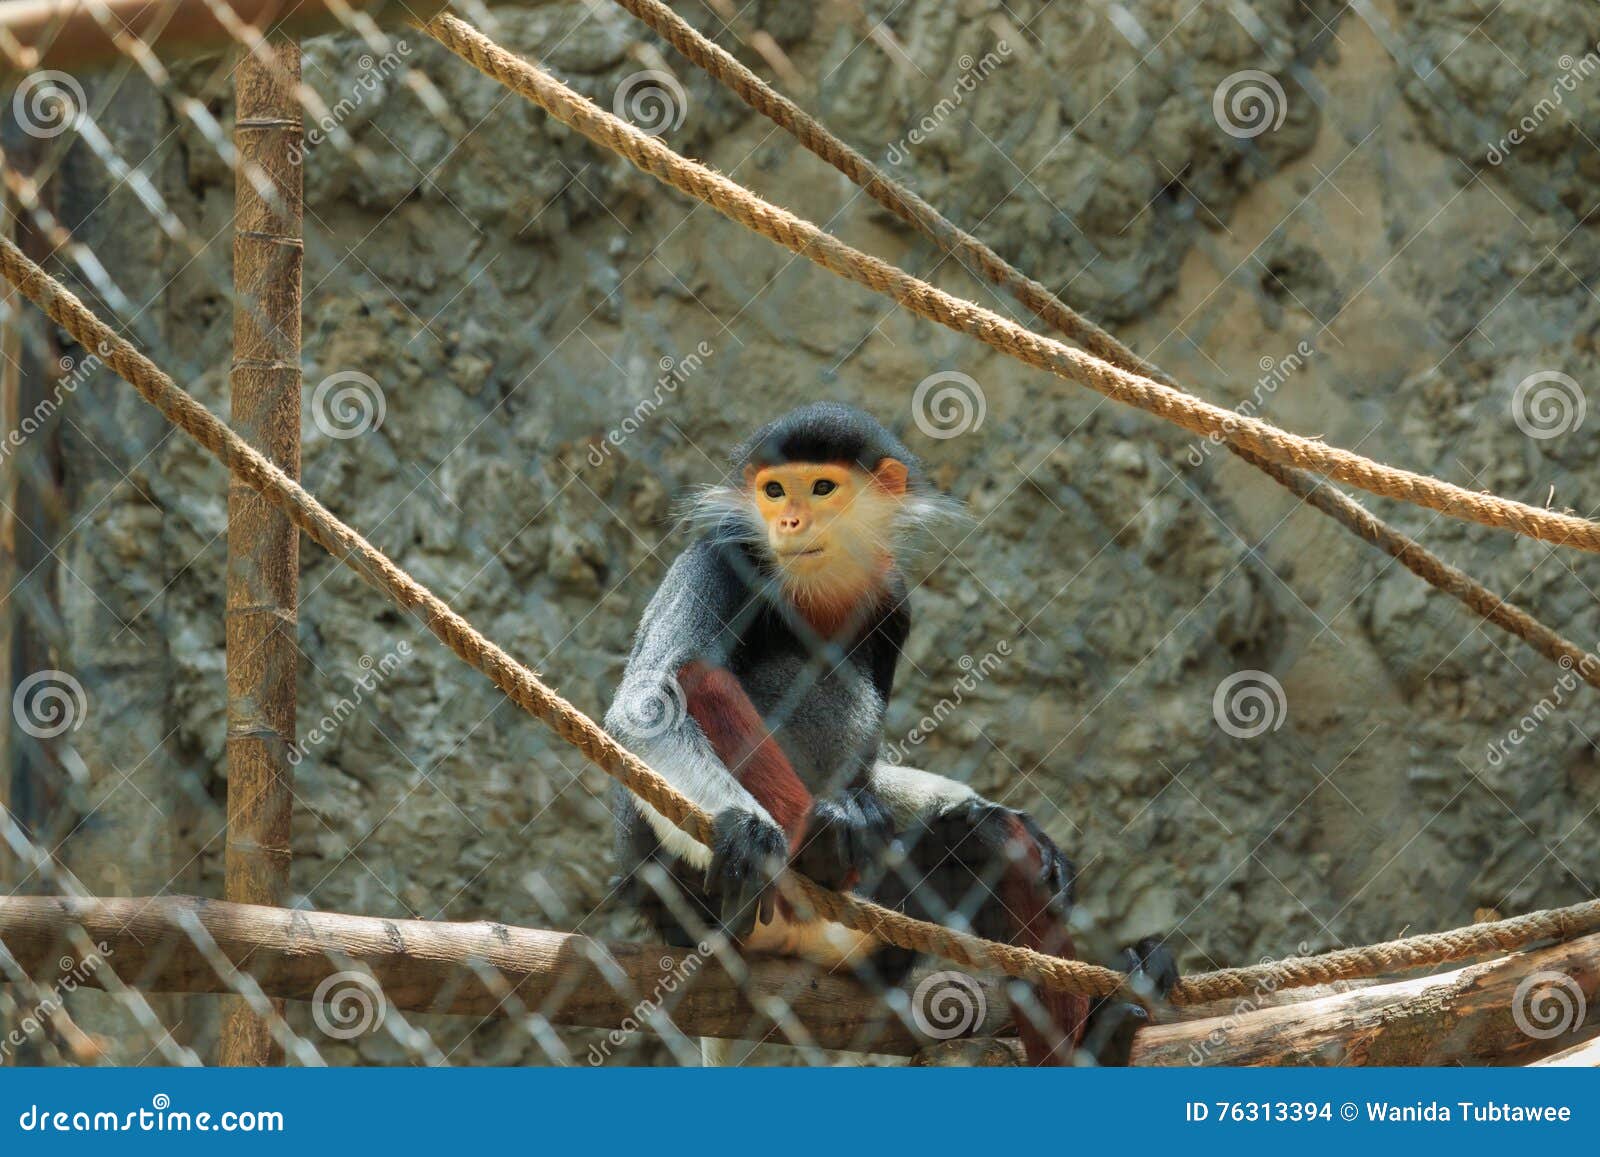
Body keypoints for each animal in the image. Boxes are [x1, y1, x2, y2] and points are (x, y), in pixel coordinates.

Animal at [604, 402, 1175, 1065]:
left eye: (822, 488)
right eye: (774, 491)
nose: (789, 520)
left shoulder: (892, 598)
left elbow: (878, 767)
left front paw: (993, 810)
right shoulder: (720, 557)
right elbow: (644, 709)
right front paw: (748, 828)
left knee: (994, 845)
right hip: (683, 898)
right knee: (699, 675)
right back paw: (819, 849)